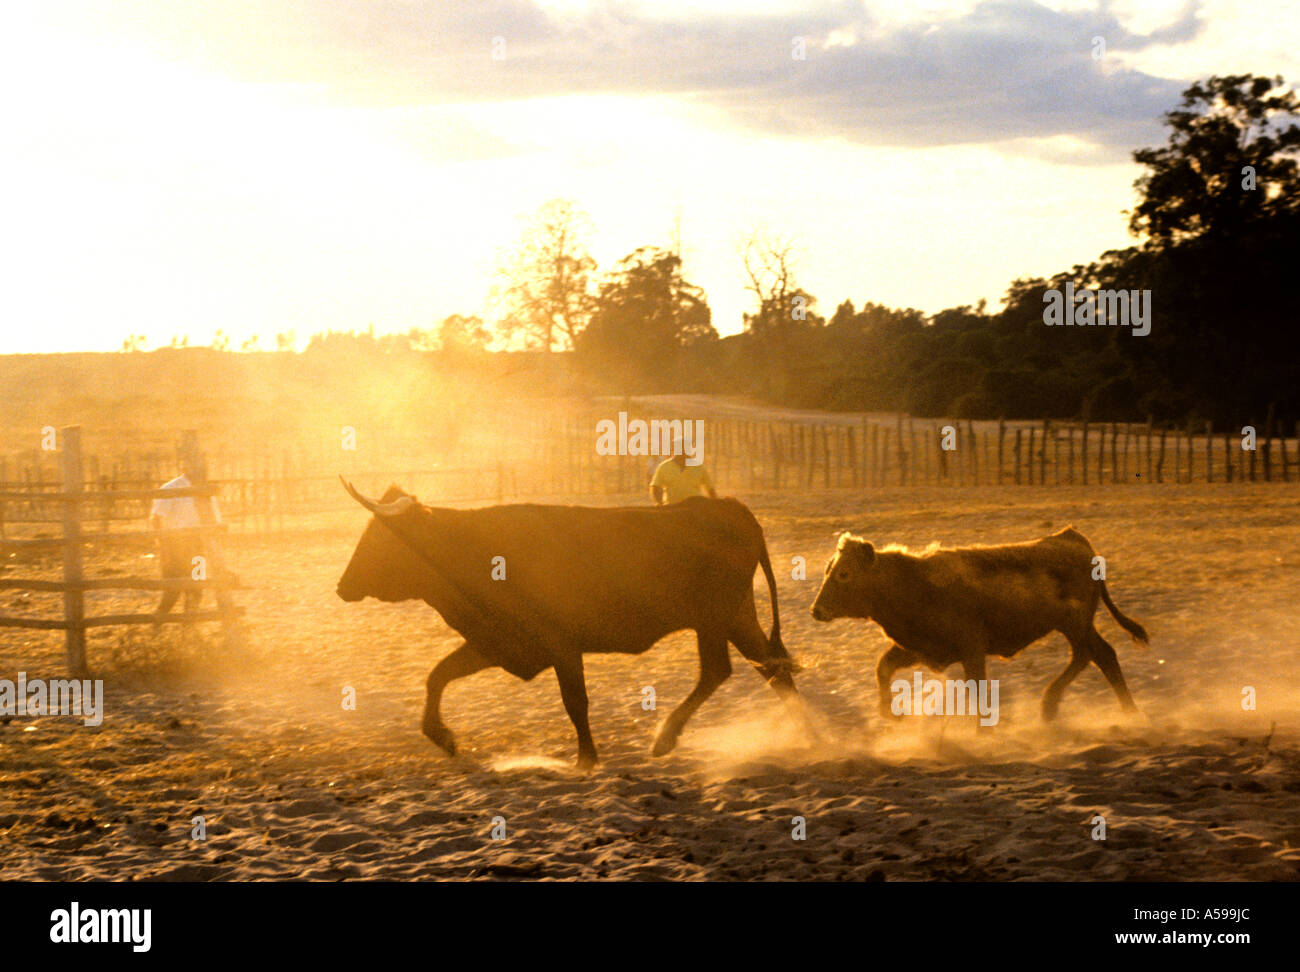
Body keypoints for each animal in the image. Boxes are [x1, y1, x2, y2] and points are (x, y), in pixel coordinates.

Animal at [336, 480, 801, 768]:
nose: (342, 587)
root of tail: (730, 507)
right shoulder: (498, 643)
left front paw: (585, 759)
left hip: (713, 618)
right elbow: (438, 676)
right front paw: (442, 737)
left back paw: (666, 737)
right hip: (737, 617)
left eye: (379, 539)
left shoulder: (560, 644)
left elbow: (575, 702)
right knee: (772, 671)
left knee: (719, 671)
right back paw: (810, 736)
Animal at [810, 526, 1149, 721]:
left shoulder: (971, 650)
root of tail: (1073, 539)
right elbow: (883, 667)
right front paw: (890, 714)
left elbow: (977, 692)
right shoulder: (919, 648)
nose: (816, 610)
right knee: (1096, 655)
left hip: (1075, 624)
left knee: (1094, 654)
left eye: (843, 573)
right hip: (1076, 626)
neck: (914, 583)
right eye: (829, 569)